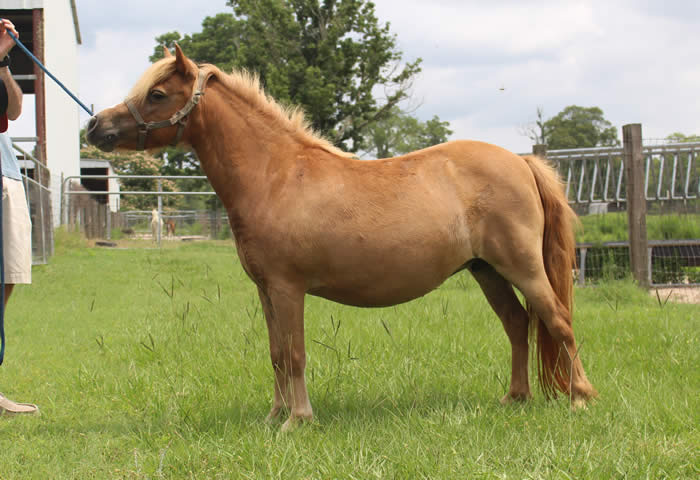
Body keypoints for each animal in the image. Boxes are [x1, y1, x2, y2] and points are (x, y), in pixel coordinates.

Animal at [87, 45, 597, 430]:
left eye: (156, 93)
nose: (95, 127)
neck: (276, 176)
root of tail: (520, 162)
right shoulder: (266, 290)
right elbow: (276, 353)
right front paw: (274, 416)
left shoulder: (288, 289)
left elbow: (295, 353)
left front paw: (298, 420)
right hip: (486, 270)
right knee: (518, 324)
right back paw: (515, 398)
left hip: (522, 266)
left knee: (557, 321)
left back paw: (579, 398)